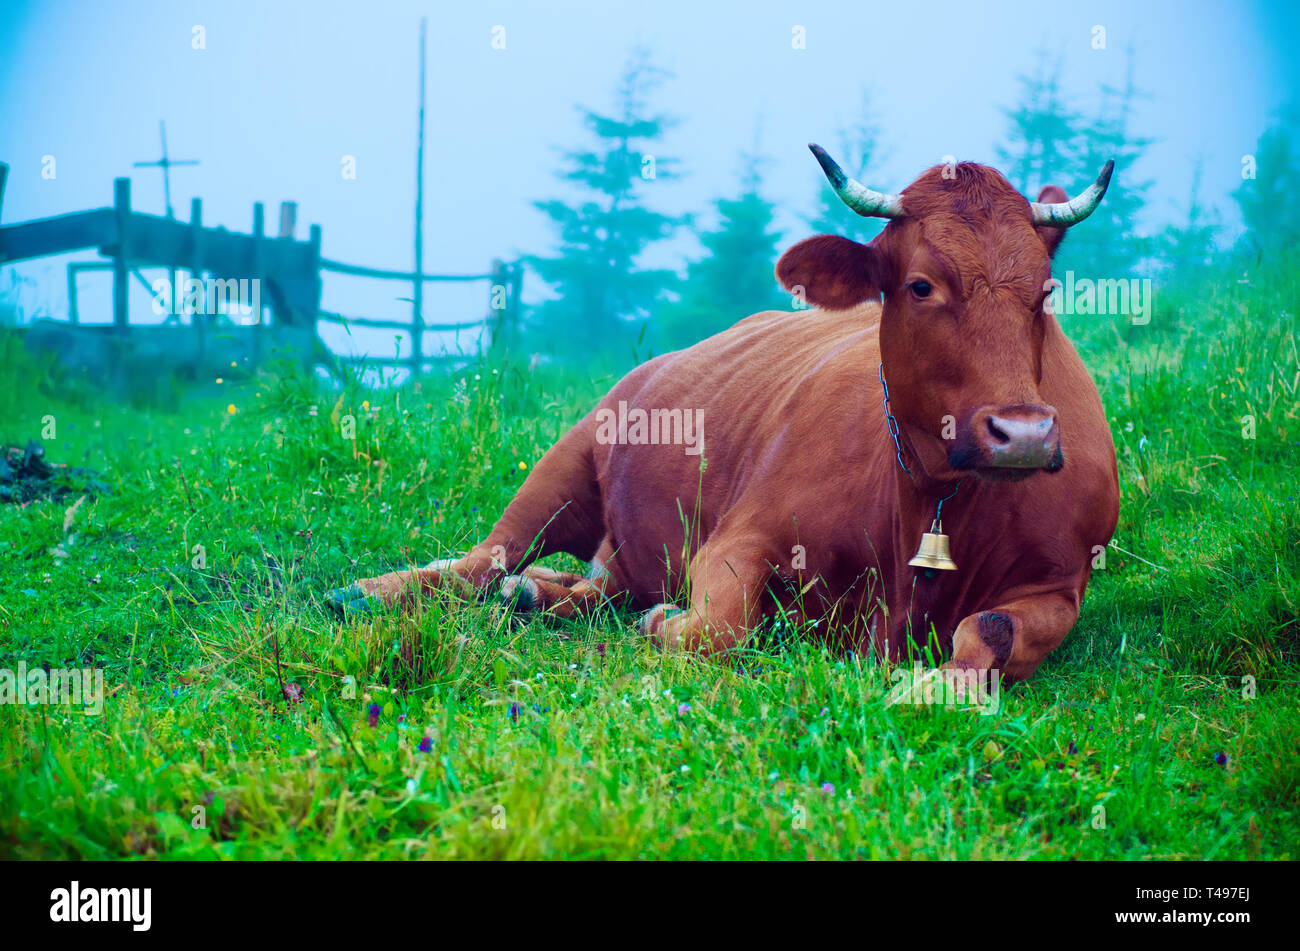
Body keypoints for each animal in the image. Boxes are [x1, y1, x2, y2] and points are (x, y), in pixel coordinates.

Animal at [327, 145, 1120, 684]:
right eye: (922, 285)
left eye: (1046, 290)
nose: (1023, 435)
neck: (933, 508)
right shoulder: (743, 535)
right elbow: (716, 630)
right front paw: (665, 624)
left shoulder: (1061, 584)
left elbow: (989, 631)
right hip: (568, 457)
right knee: (477, 562)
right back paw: (367, 592)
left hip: (620, 550)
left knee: (582, 587)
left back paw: (533, 593)